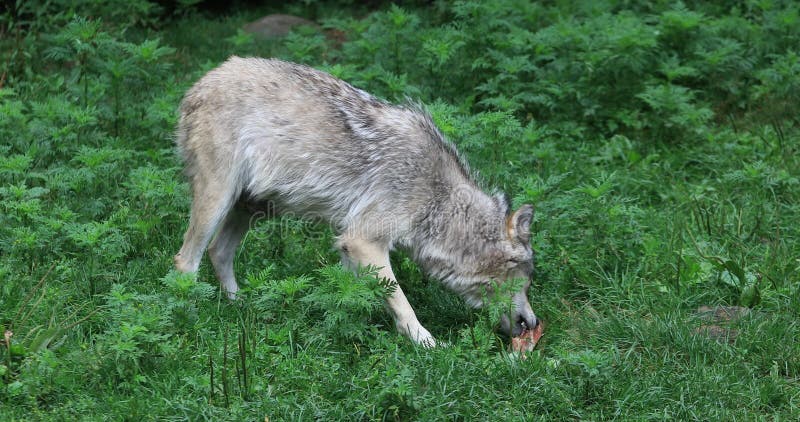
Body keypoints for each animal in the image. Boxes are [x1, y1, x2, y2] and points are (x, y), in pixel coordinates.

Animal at [173, 57, 539, 346]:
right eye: (526, 280)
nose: (533, 323)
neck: (437, 199)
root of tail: (203, 80)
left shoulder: (350, 249)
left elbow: (355, 294)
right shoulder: (362, 241)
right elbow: (402, 303)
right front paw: (427, 344)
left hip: (255, 207)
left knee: (218, 251)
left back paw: (240, 306)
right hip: (218, 201)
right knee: (185, 263)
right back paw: (188, 319)